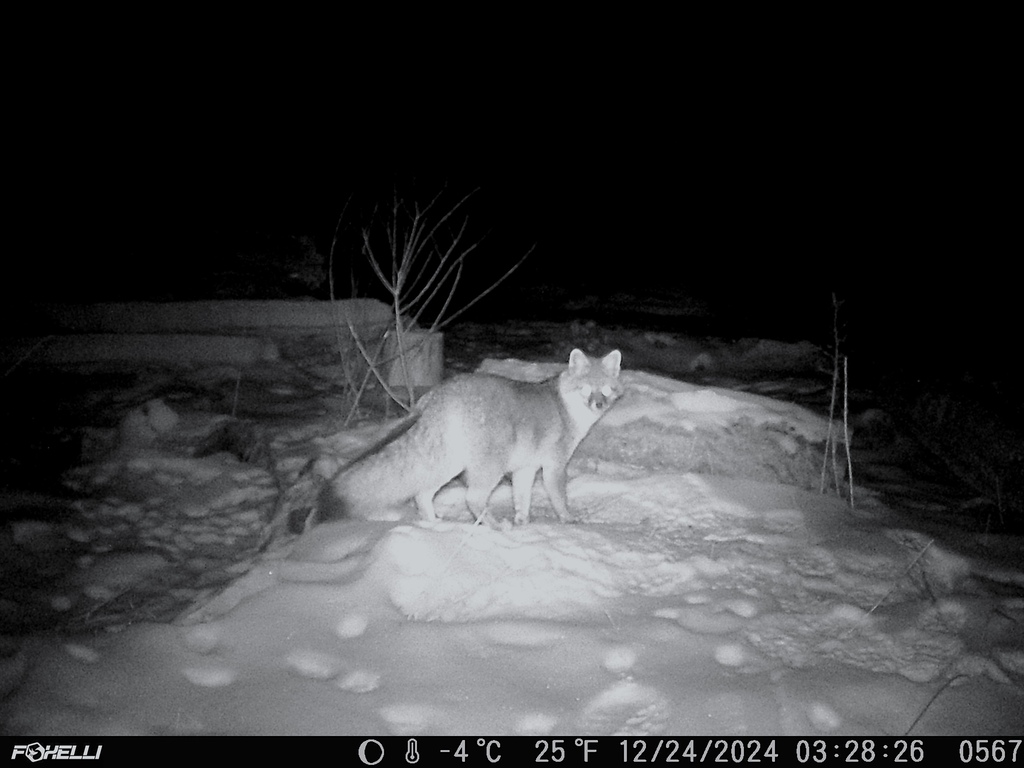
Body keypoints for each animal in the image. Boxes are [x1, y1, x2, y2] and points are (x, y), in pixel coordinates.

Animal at [296, 348, 623, 530]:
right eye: (587, 388)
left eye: (606, 389)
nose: (599, 404)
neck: (564, 405)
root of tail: (439, 393)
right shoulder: (554, 466)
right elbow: (559, 499)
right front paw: (567, 520)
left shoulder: (525, 469)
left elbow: (522, 501)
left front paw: (523, 525)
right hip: (487, 468)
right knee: (472, 498)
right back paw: (494, 526)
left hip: (447, 466)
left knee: (421, 495)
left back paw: (435, 524)